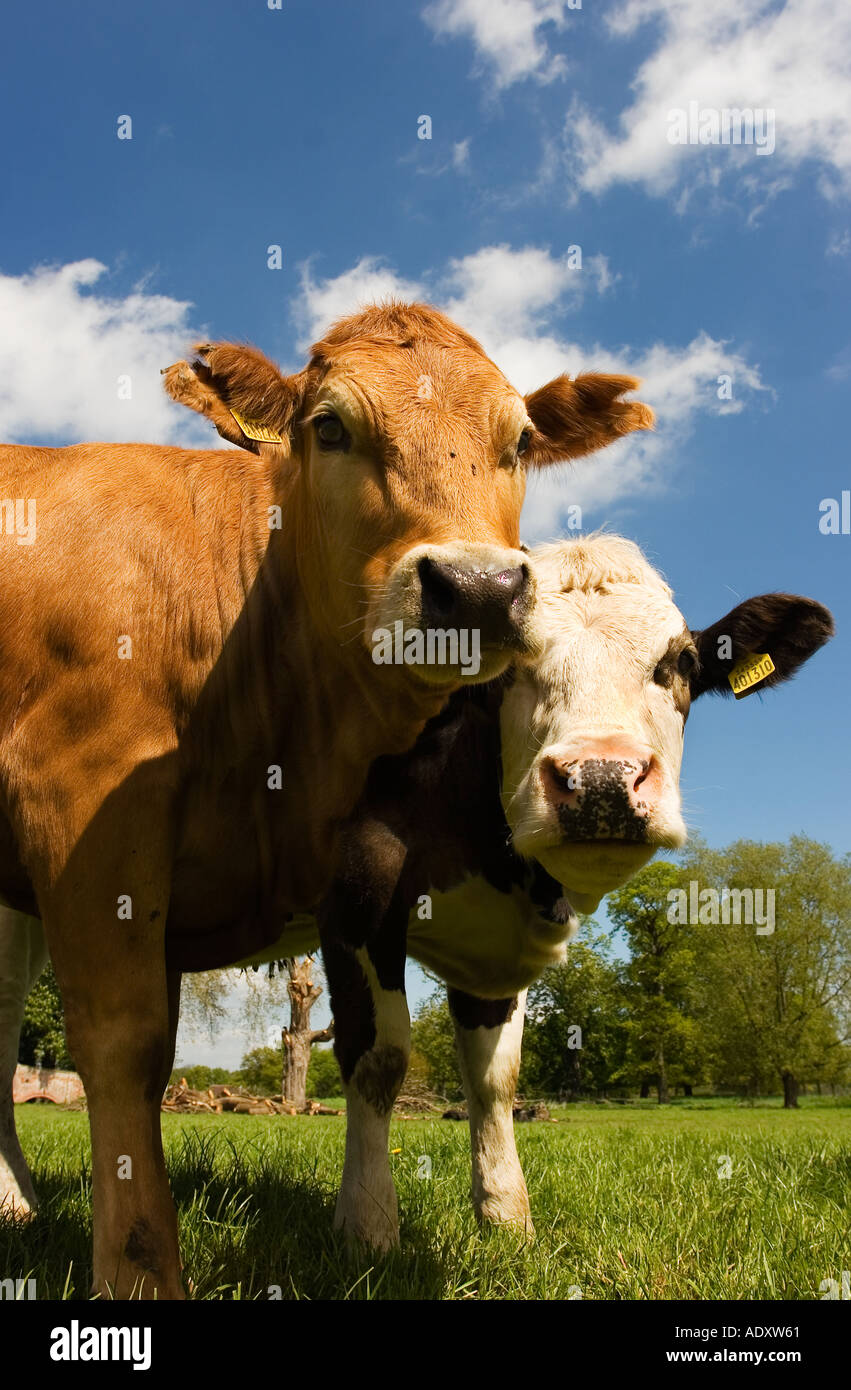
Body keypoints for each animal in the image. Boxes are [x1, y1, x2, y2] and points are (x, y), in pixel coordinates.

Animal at [0, 302, 652, 1298]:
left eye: (519, 440)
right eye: (330, 427)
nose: (479, 589)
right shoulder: (86, 802)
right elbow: (124, 1043)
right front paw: (140, 1270)